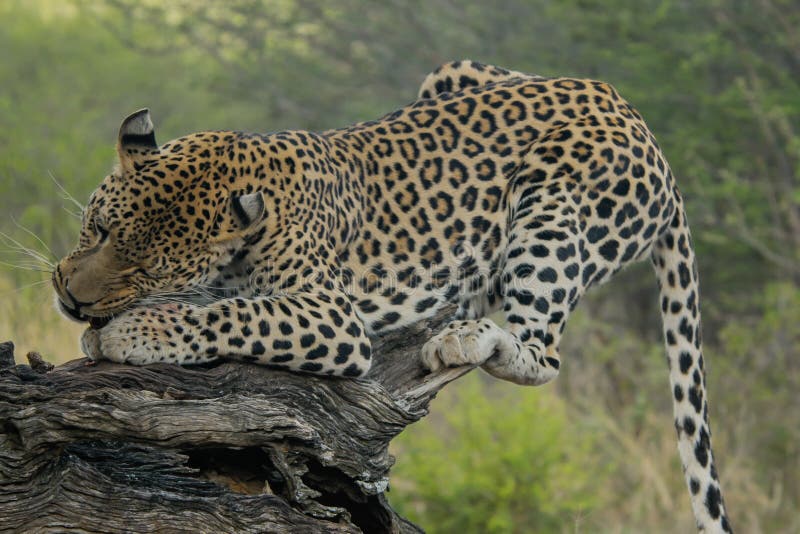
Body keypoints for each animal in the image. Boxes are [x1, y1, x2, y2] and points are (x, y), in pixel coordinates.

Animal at [52, 60, 731, 532]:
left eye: (148, 271)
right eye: (99, 226)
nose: (72, 299)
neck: (238, 165)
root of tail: (641, 125)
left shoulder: (334, 319)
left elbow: (232, 311)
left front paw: (133, 330)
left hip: (553, 198)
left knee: (542, 353)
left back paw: (468, 337)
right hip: (450, 75)